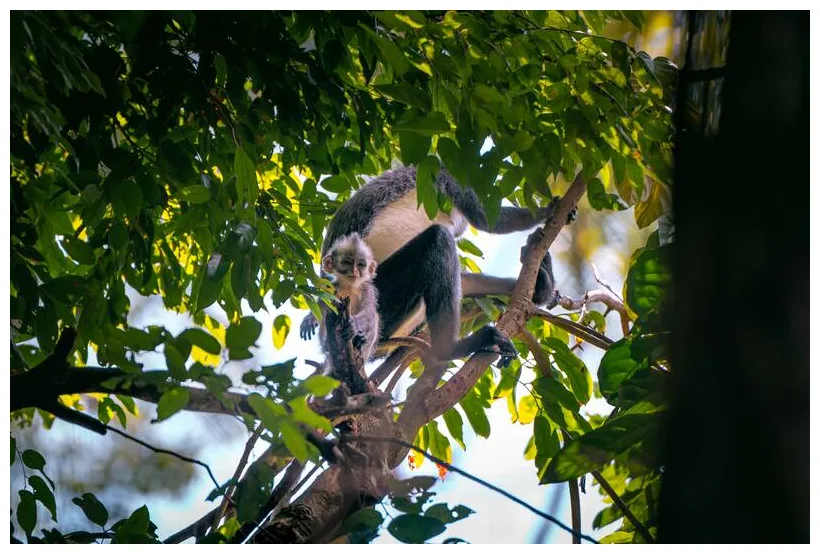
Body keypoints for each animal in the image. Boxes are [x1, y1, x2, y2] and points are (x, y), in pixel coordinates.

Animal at [300, 165, 576, 376]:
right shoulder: (449, 178)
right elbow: (487, 219)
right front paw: (549, 210)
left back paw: (540, 287)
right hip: (380, 298)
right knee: (439, 240)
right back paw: (451, 349)